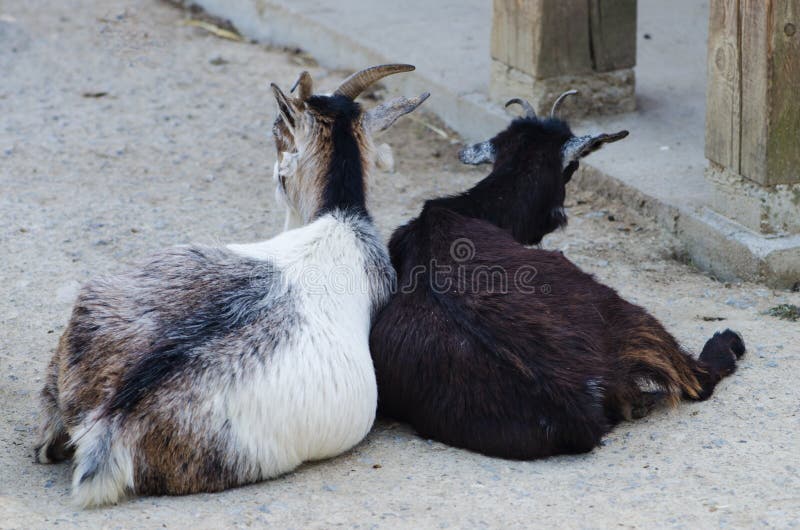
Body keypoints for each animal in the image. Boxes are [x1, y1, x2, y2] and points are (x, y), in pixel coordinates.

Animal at [369, 95, 745, 459]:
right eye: (572, 166)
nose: (549, 223)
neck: (467, 209)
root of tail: (572, 401)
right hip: (624, 311)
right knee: (701, 379)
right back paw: (728, 341)